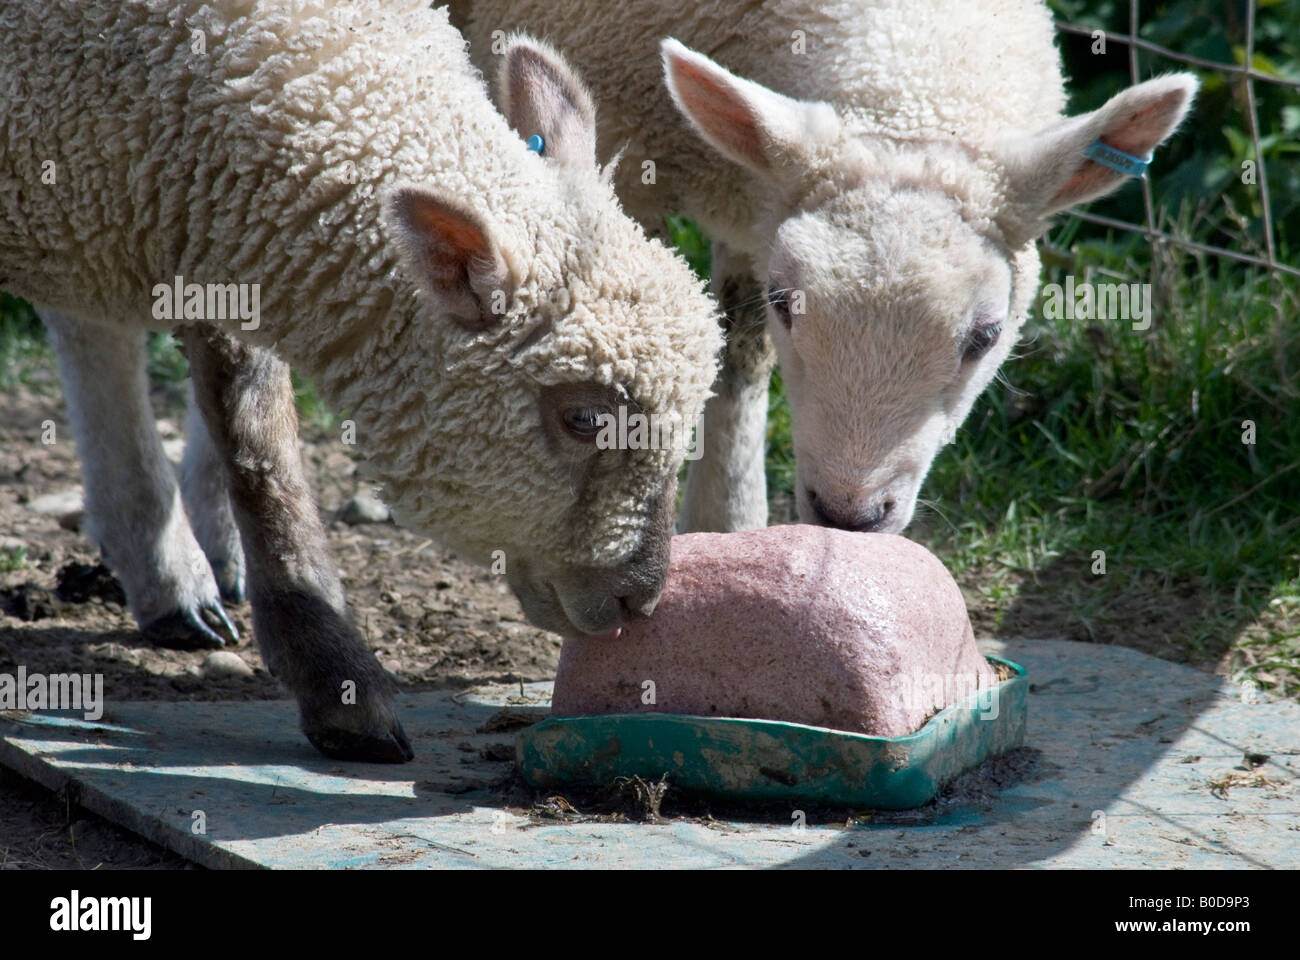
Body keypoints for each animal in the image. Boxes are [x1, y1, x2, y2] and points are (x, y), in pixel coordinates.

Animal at [0, 0, 722, 761]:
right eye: (582, 418)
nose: (639, 601)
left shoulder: (212, 227)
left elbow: (248, 420)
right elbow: (254, 436)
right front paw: (339, 683)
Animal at [452, 0, 1197, 533]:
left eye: (986, 337)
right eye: (789, 303)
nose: (848, 516)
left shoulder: (758, 211)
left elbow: (737, 351)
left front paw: (725, 527)